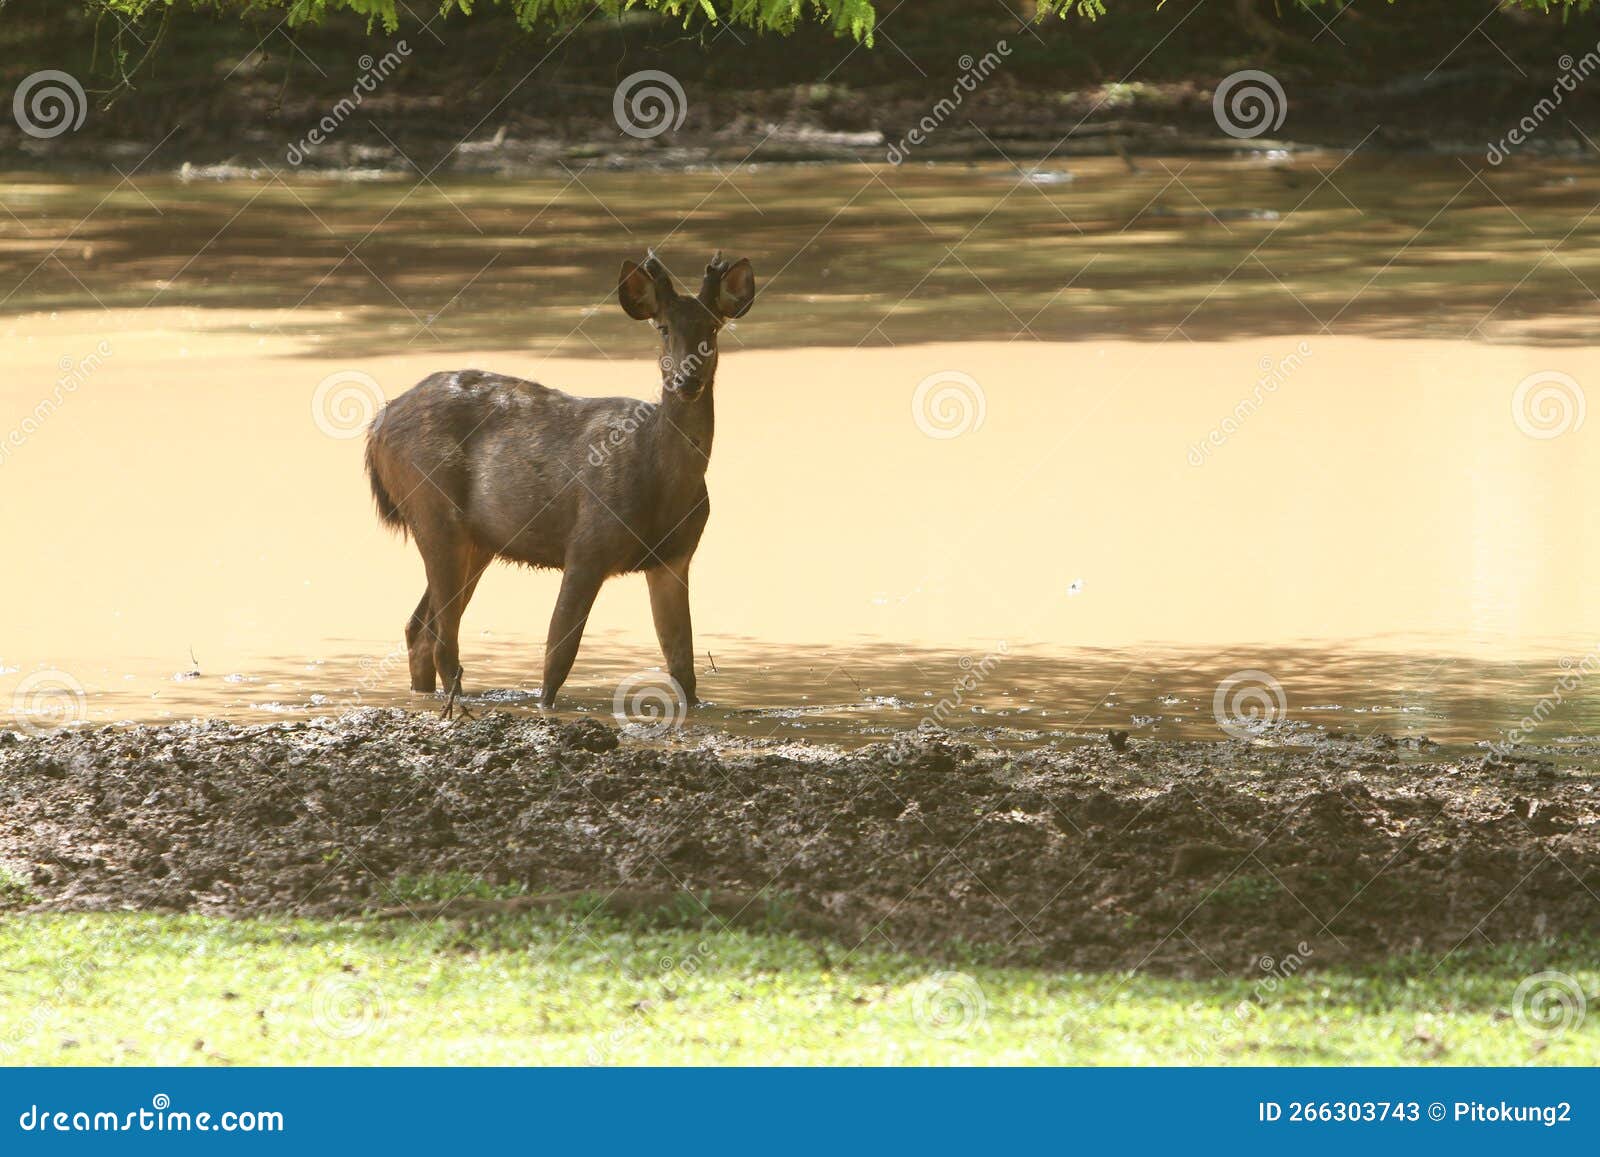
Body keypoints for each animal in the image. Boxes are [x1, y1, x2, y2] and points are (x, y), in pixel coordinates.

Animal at [364, 251, 756, 718]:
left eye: (712, 328)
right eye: (663, 328)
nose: (688, 380)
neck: (662, 485)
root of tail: (377, 427)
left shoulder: (674, 558)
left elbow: (683, 667)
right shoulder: (587, 546)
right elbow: (557, 658)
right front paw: (546, 709)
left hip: (478, 541)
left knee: (420, 628)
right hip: (432, 509)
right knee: (443, 638)